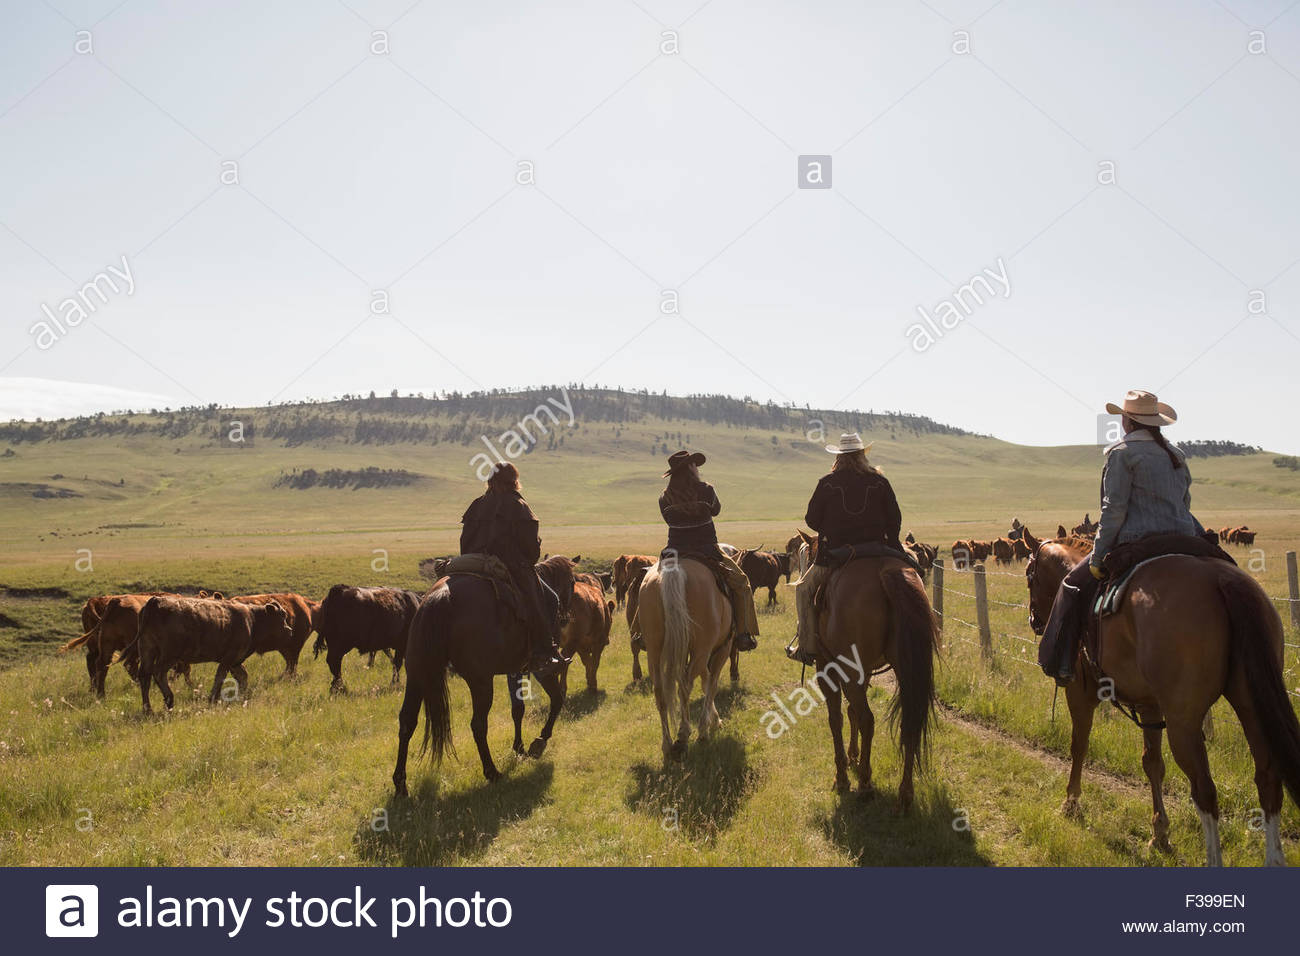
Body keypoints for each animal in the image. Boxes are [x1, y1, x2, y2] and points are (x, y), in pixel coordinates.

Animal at [135, 595, 292, 714]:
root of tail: (156, 600)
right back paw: (169, 700)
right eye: (281, 617)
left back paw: (147, 709)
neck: (253, 621)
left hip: (148, 650)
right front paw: (213, 699)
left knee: (145, 676)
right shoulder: (228, 659)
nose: (289, 630)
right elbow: (220, 678)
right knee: (158, 673)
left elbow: (243, 677)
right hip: (169, 655)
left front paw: (240, 696)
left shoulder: (235, 662)